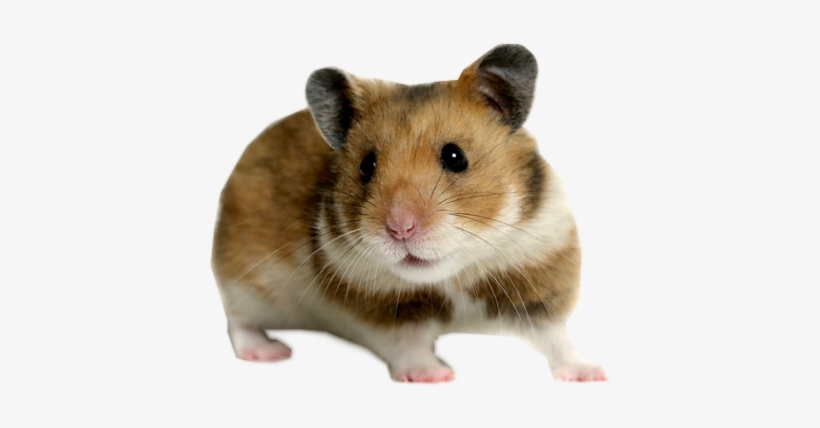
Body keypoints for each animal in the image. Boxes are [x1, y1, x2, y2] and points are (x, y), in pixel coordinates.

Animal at [211, 44, 606, 382]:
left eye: (455, 156)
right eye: (367, 165)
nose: (399, 229)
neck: (451, 276)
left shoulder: (536, 278)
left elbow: (556, 337)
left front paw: (591, 374)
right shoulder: (381, 307)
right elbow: (407, 342)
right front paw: (436, 376)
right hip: (240, 278)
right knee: (238, 323)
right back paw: (269, 351)